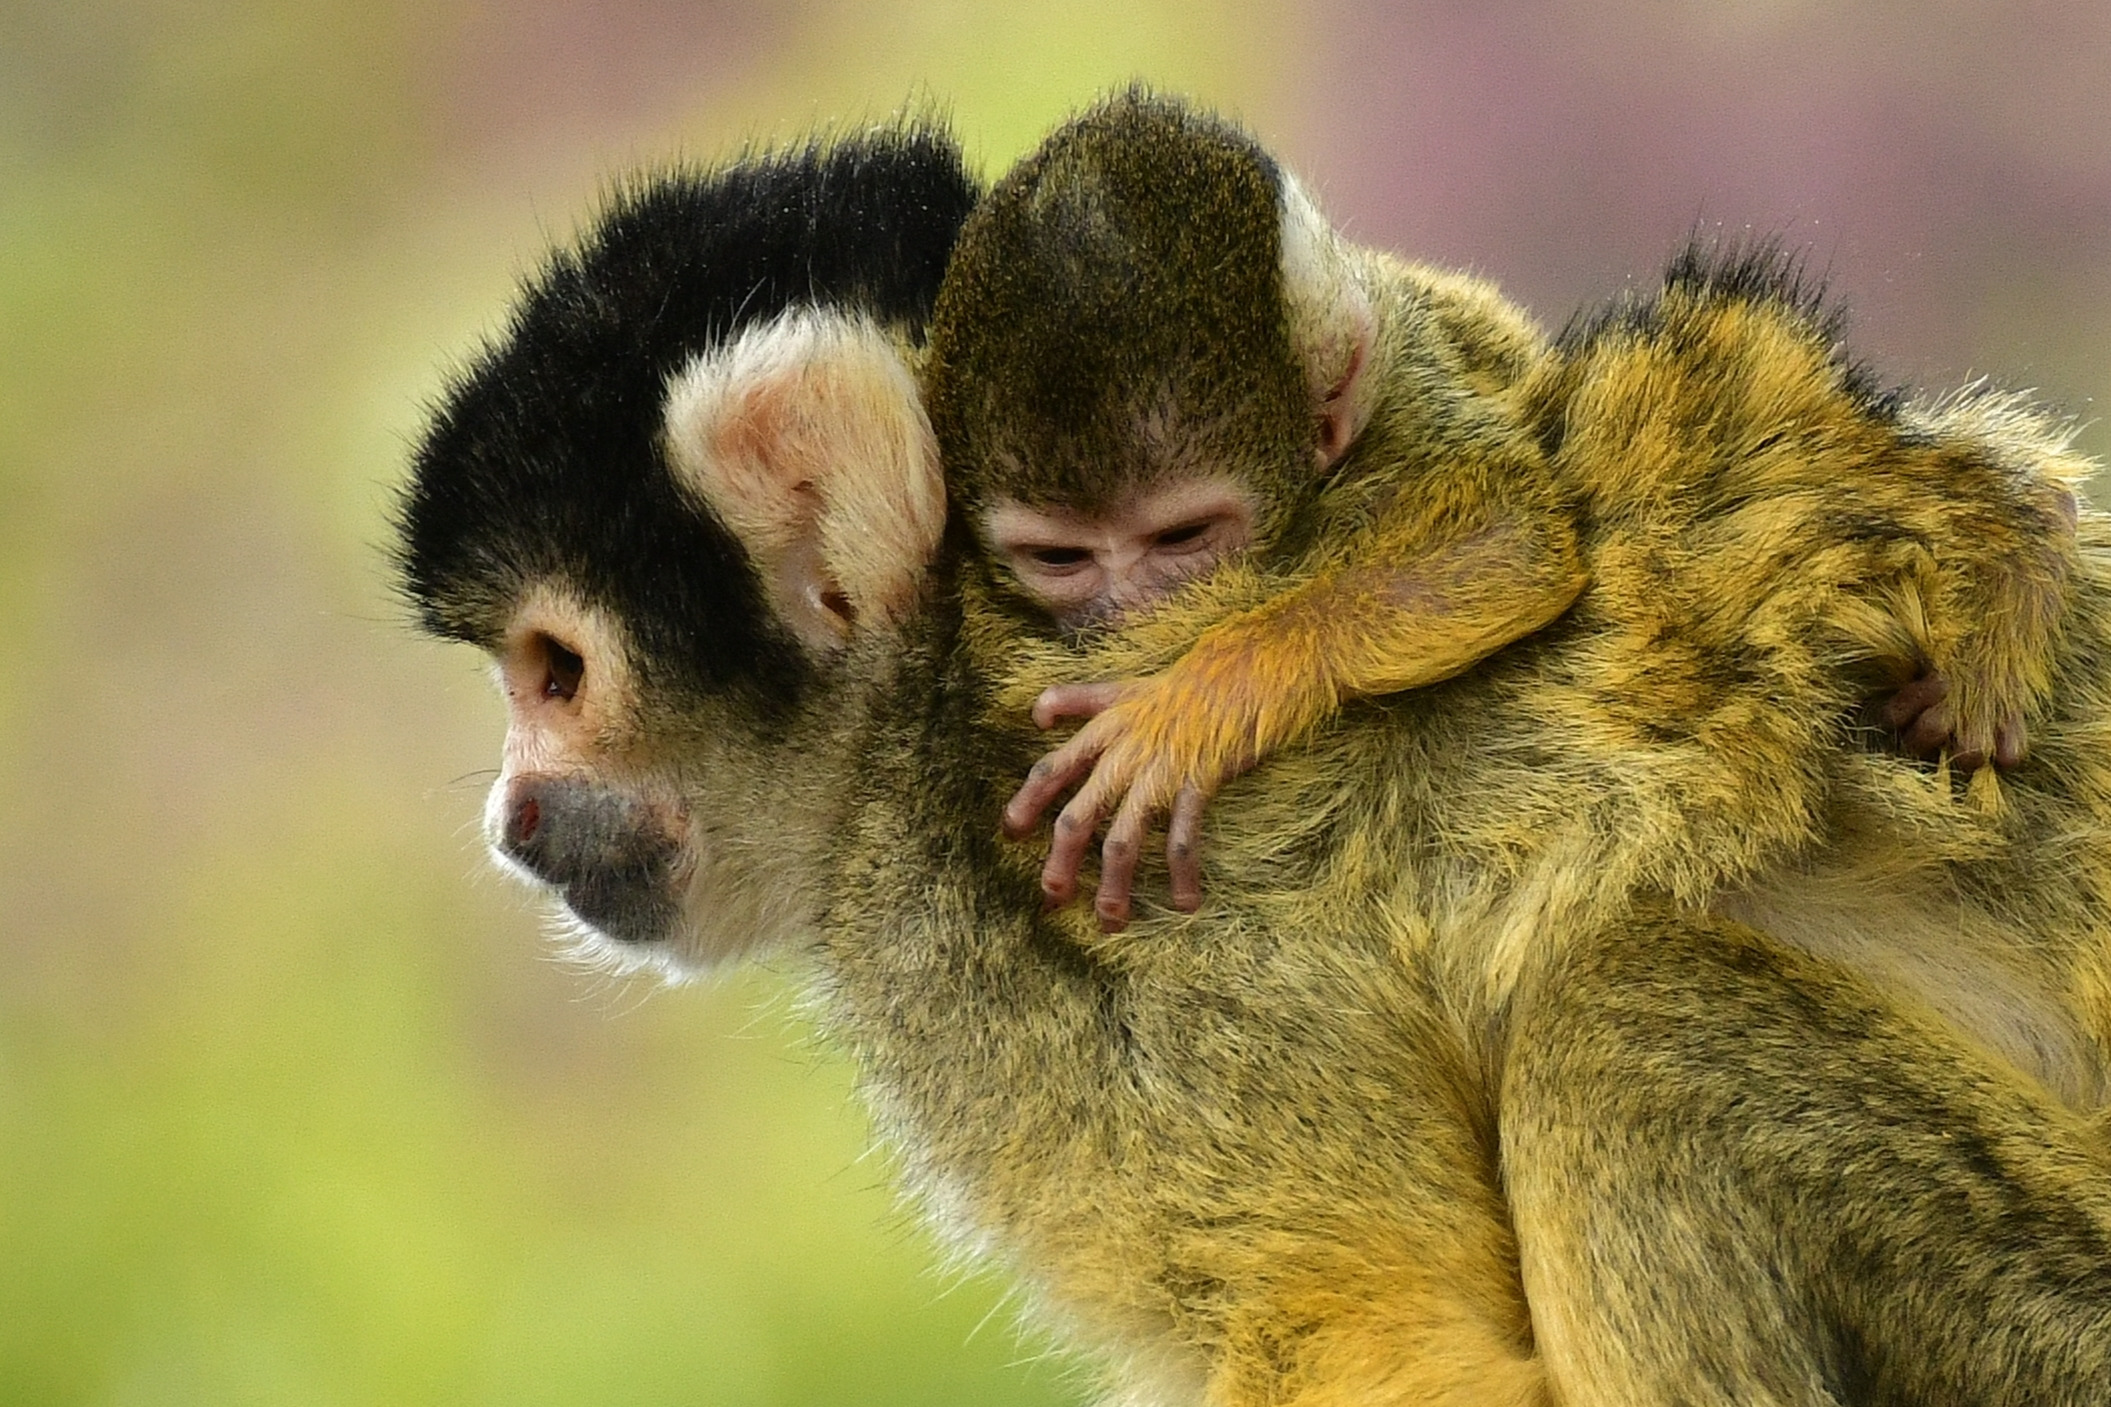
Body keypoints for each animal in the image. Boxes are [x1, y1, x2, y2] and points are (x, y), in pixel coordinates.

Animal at [401, 110, 2111, 1406]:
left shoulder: (1074, 929)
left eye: (555, 674)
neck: (916, 708)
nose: (511, 817)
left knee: (1631, 1027)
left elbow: (1389, 1336)